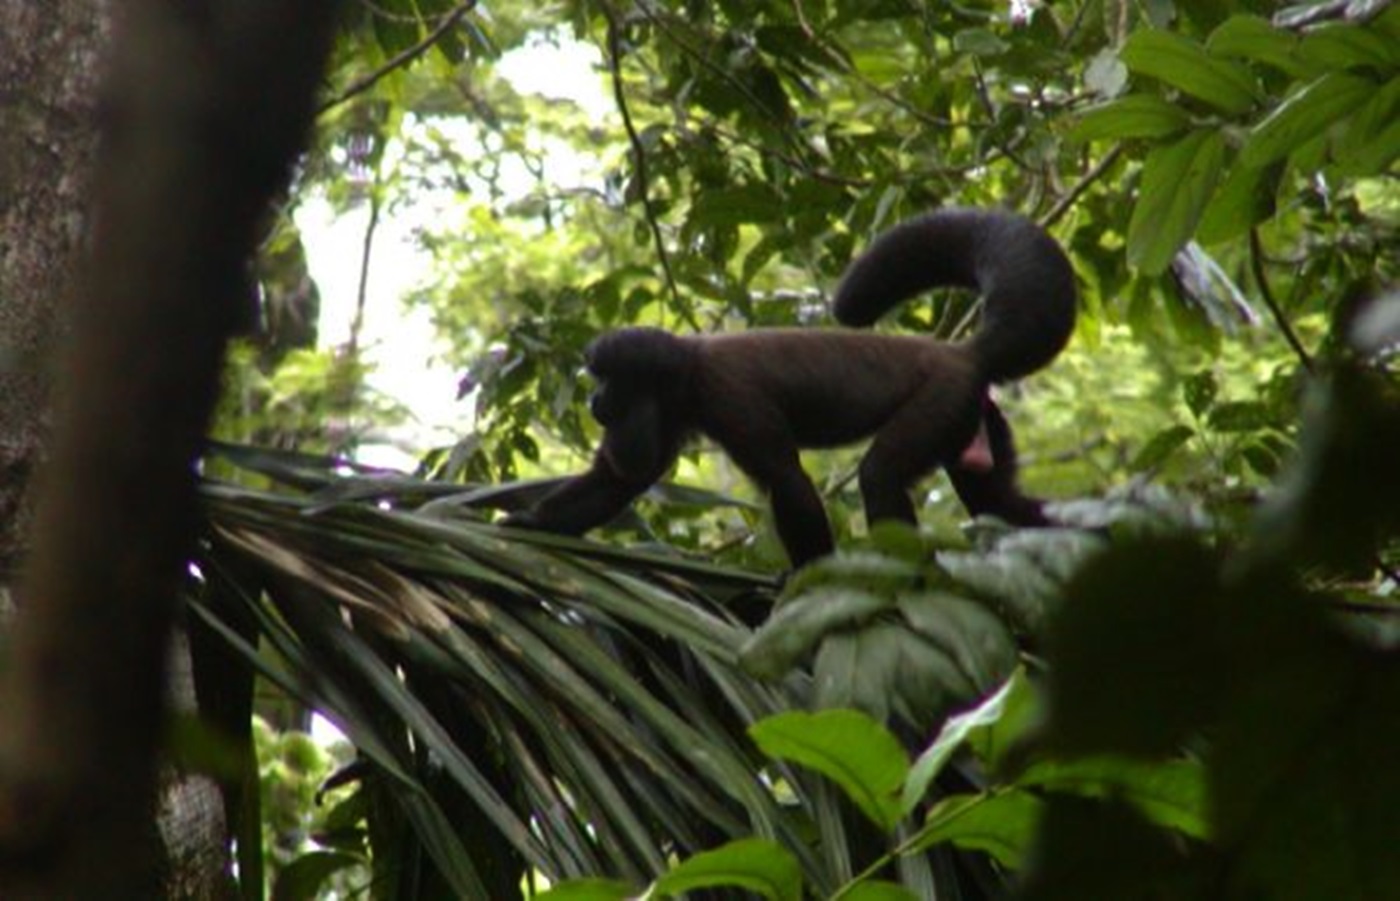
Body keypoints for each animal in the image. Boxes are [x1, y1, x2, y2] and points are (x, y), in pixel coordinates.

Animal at [505, 207, 1076, 567]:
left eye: (604, 380)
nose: (594, 400)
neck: (683, 373)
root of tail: (964, 353)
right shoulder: (667, 414)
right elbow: (617, 483)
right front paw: (528, 525)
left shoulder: (728, 398)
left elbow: (788, 481)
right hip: (976, 419)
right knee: (1000, 502)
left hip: (945, 397)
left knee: (881, 475)